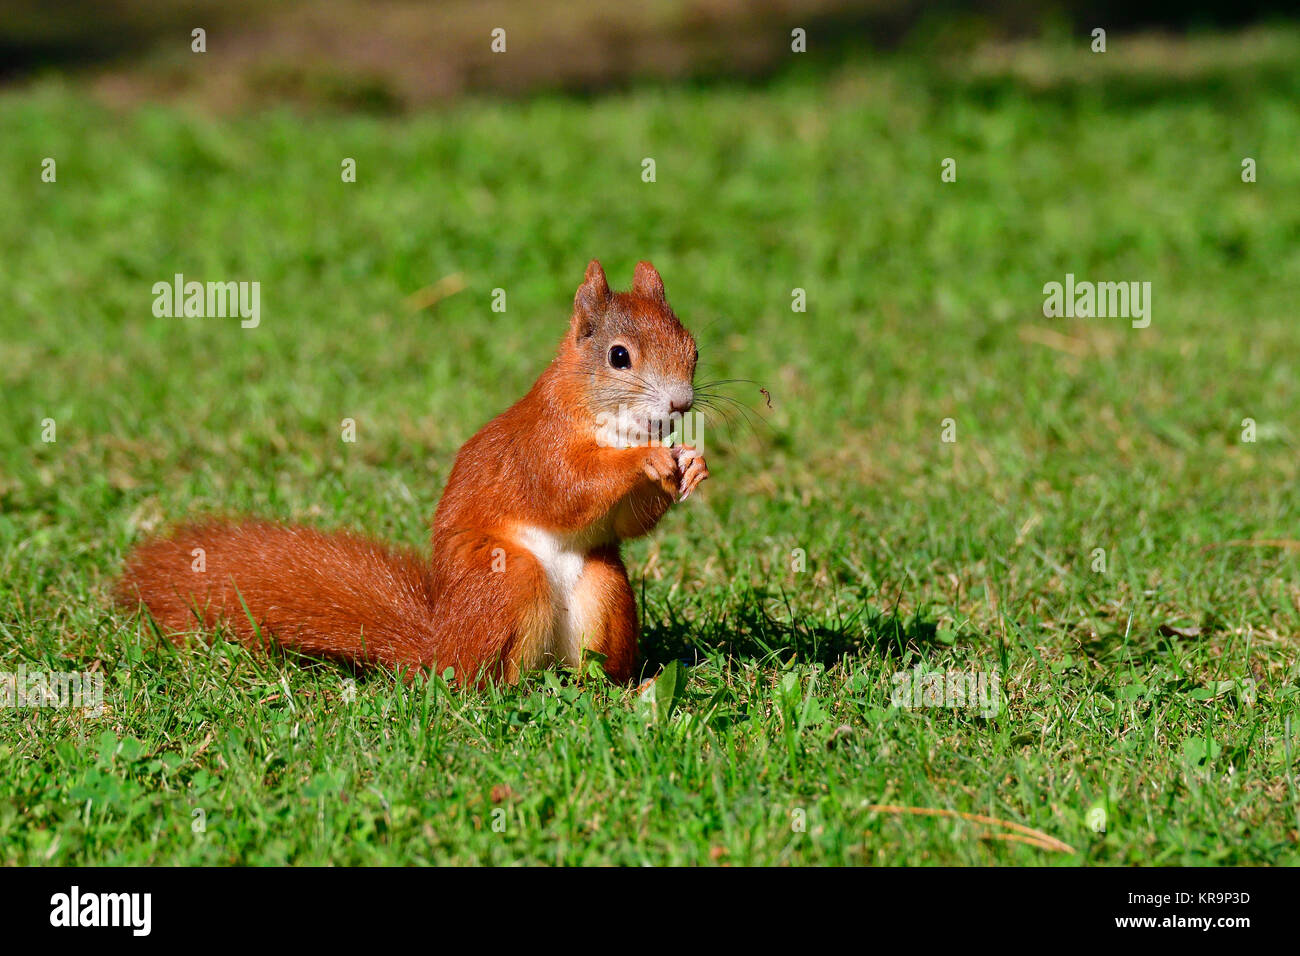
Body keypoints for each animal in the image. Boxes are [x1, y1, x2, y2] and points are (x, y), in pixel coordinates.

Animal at [116, 260, 708, 685]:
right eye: (618, 357)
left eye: (694, 351)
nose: (681, 405)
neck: (603, 419)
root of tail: (439, 648)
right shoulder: (538, 448)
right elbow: (568, 487)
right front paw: (646, 461)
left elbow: (627, 522)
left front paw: (691, 466)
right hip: (505, 578)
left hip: (604, 584)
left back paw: (616, 689)